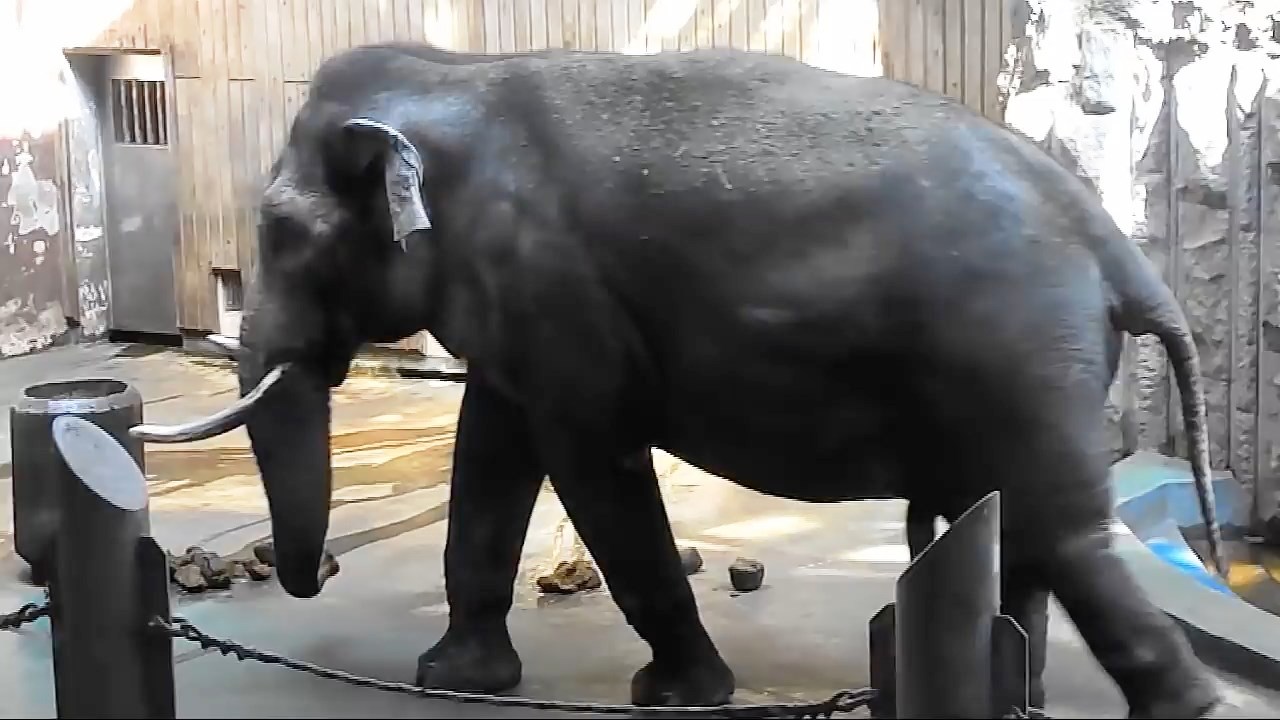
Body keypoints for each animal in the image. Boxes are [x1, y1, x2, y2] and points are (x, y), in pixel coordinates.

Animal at [133, 44, 1227, 717]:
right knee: (1016, 533)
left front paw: (674, 696)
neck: (454, 72)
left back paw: (1182, 705)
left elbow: (591, 457)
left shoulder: (552, 286)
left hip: (1015, 348)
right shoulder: (513, 301)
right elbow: (492, 447)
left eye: (283, 234)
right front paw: (453, 681)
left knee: (1062, 532)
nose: (314, 571)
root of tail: (1114, 248)